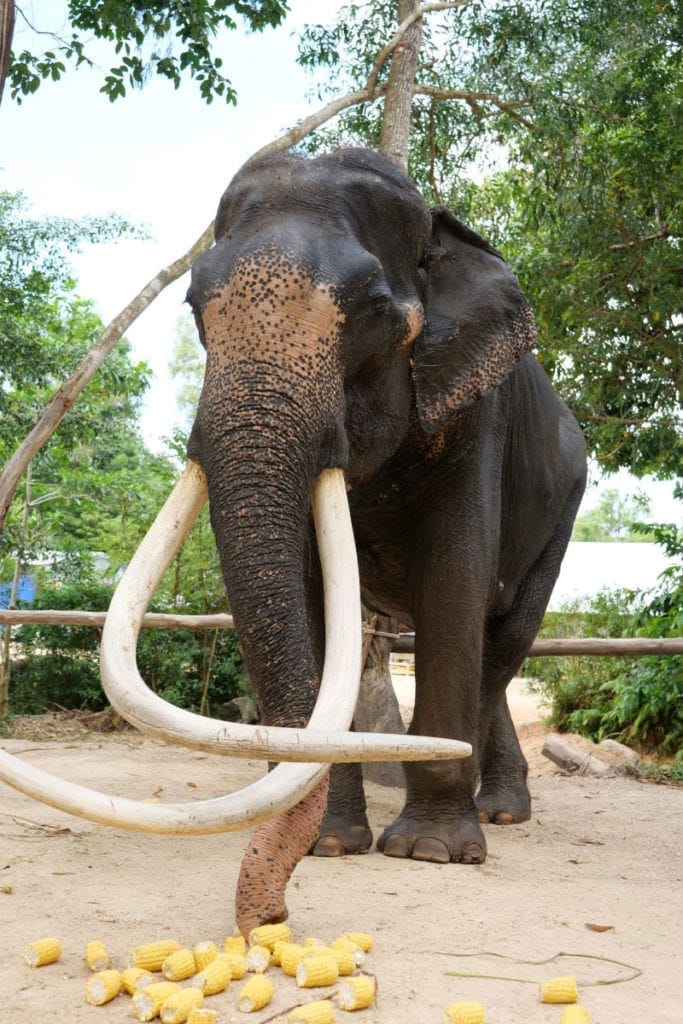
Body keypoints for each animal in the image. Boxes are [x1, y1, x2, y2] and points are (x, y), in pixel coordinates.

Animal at [182, 146, 587, 931]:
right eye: (192, 306)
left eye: (373, 307)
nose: (270, 915)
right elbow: (311, 599)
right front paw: (332, 845)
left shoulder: (475, 410)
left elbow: (454, 581)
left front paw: (430, 851)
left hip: (565, 508)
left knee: (503, 639)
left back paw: (495, 812)